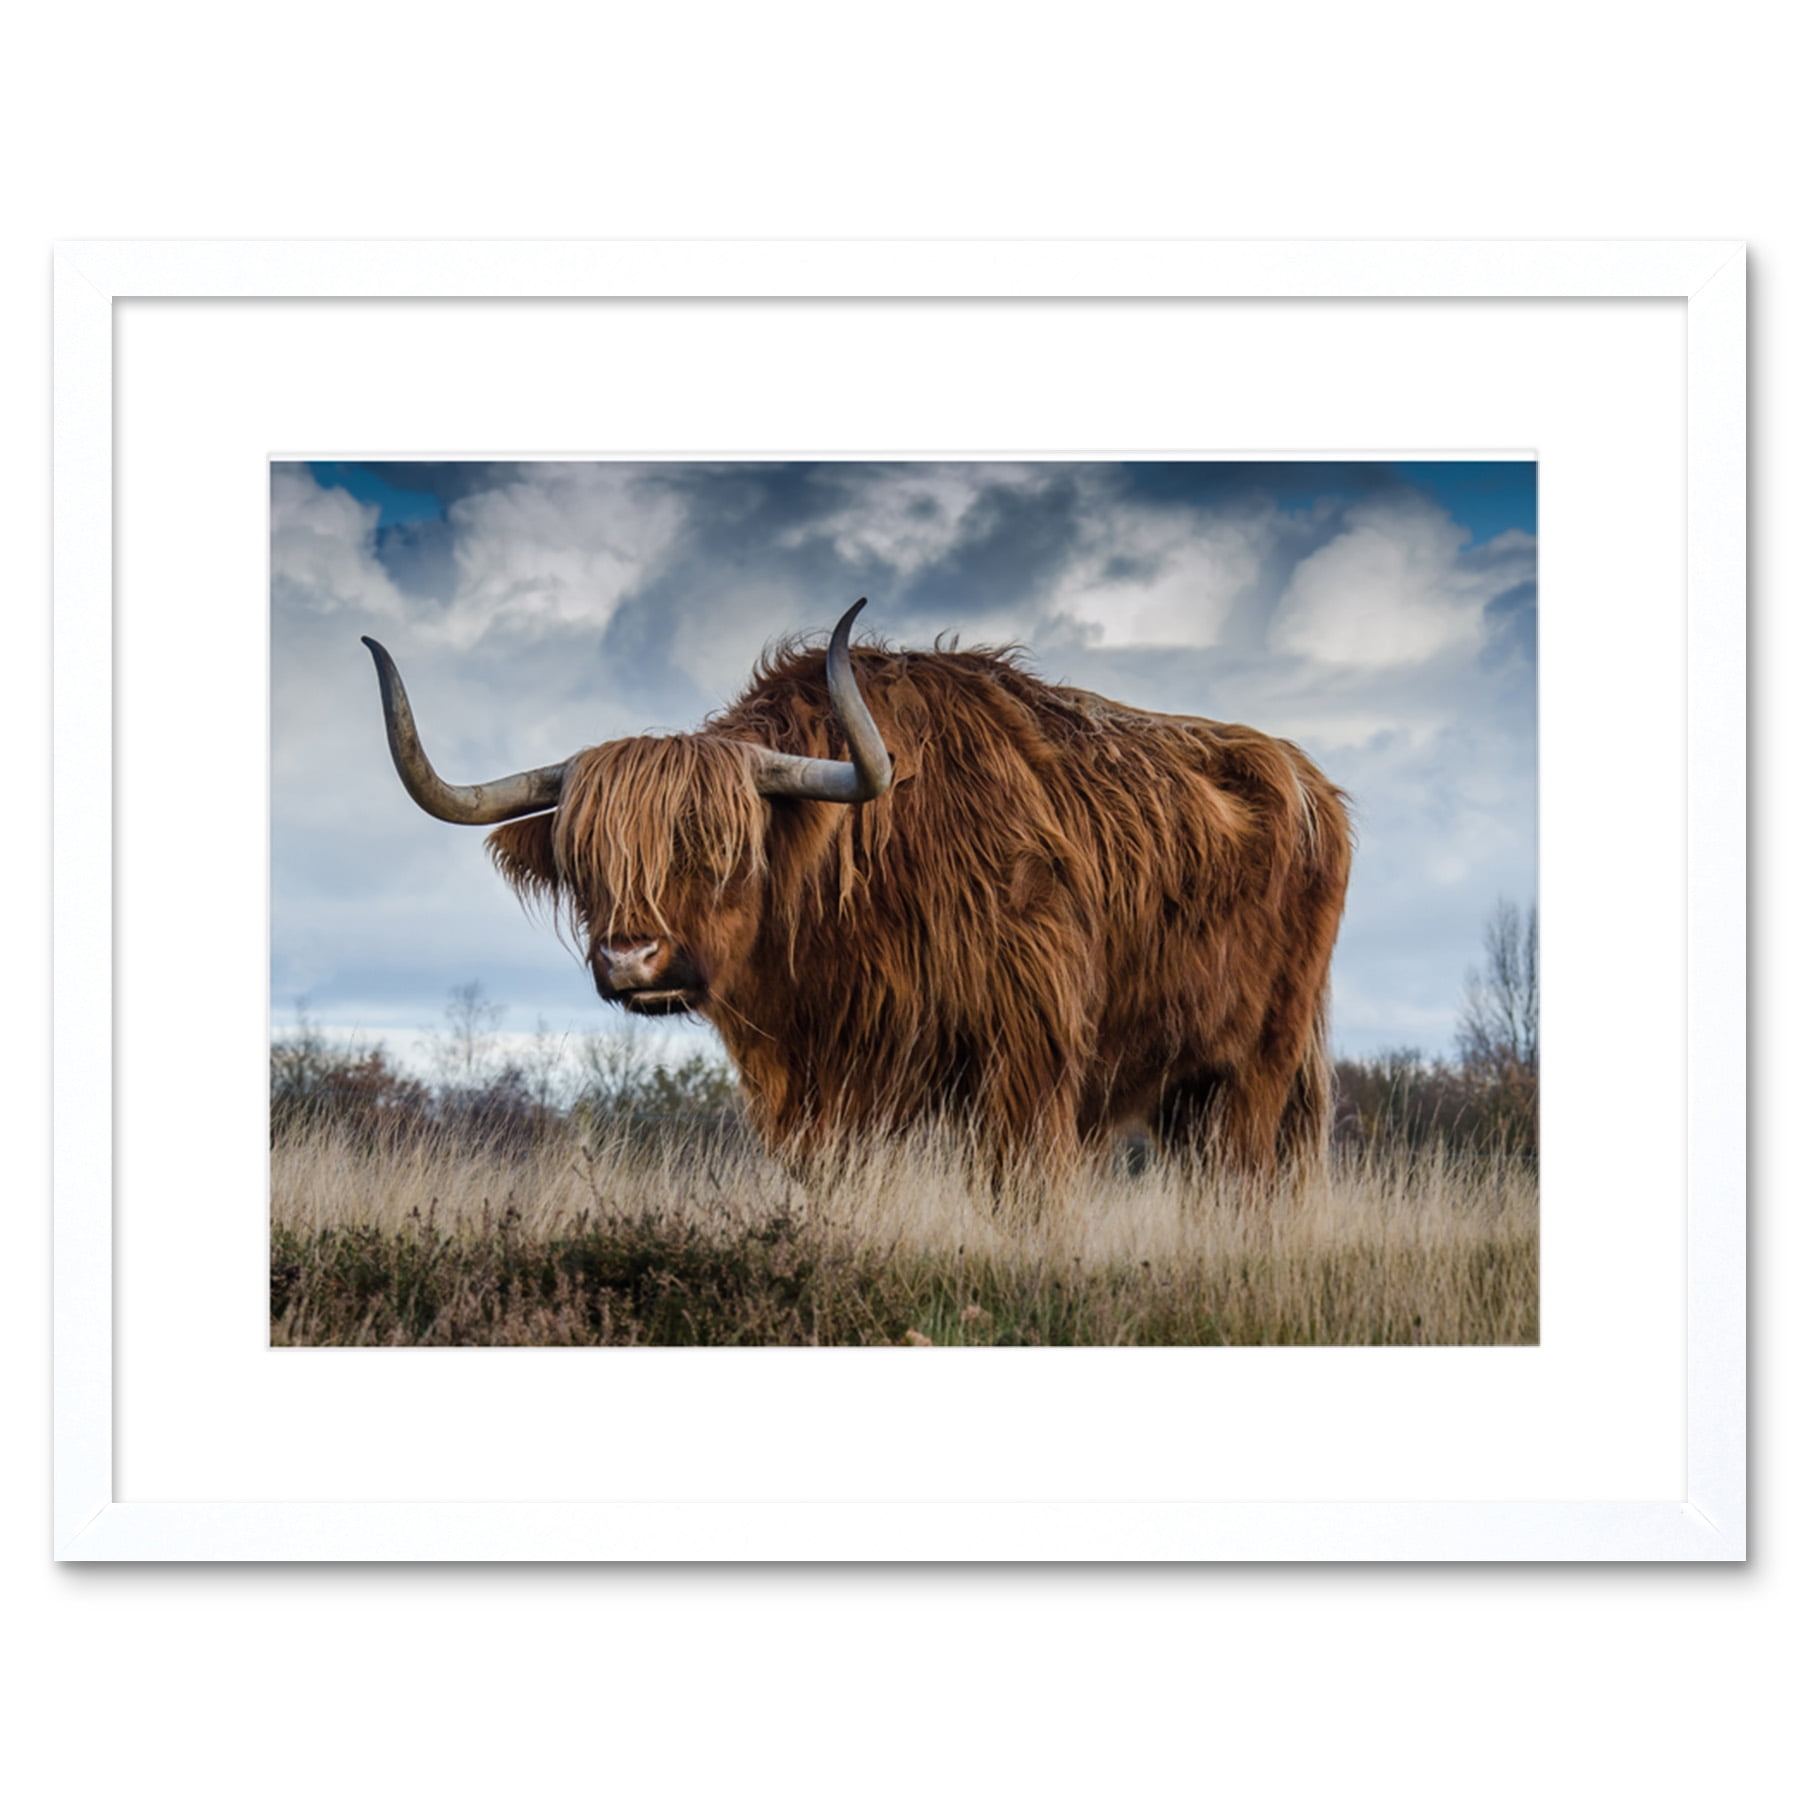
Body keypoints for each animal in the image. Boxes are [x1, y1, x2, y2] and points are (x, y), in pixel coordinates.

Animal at [363, 601, 1351, 1191]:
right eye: (585, 860)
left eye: (723, 848)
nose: (630, 958)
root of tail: (1309, 780)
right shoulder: (822, 1087)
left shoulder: (1028, 1058)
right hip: (1189, 1086)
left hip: (1259, 1066)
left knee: (1246, 1182)